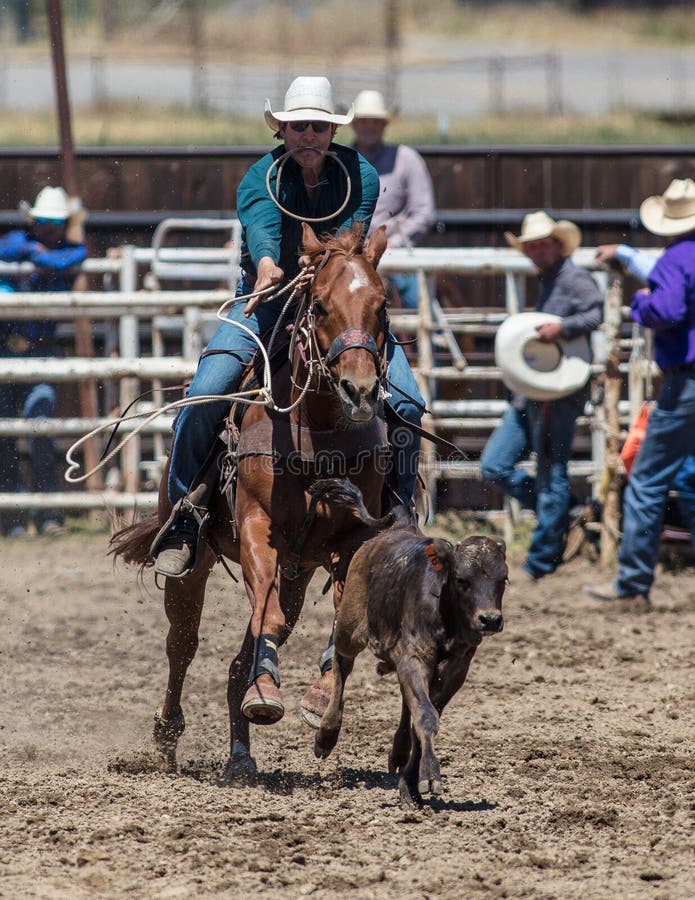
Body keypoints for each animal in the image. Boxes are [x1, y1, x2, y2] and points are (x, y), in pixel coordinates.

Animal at [309, 482, 507, 806]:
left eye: (503, 578)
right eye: (462, 579)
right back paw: (326, 734)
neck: (445, 614)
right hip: (350, 628)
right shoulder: (414, 657)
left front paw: (411, 783)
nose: (490, 619)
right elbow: (425, 716)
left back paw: (399, 753)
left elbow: (422, 716)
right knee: (342, 664)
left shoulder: (455, 669)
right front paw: (429, 778)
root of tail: (398, 526)